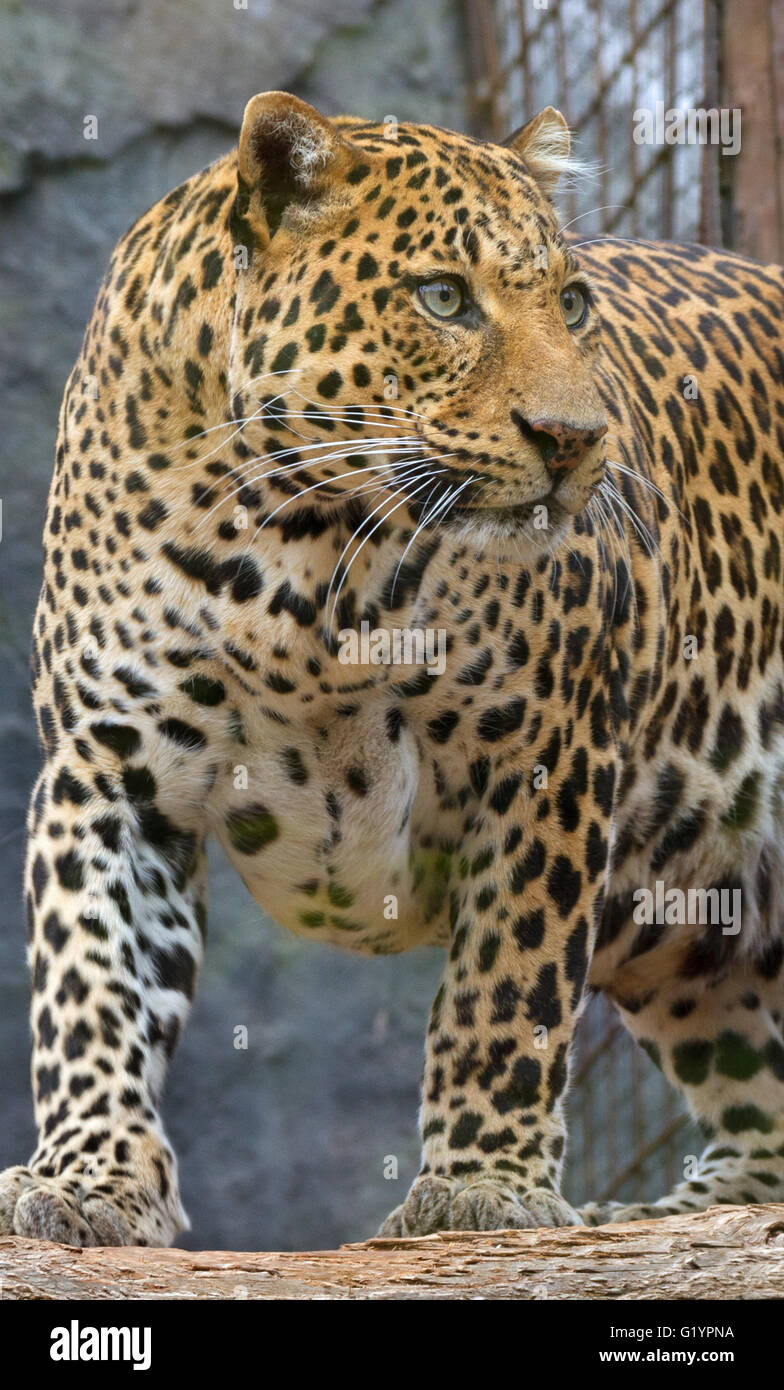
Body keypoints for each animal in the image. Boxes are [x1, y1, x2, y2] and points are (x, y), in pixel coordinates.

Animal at [3, 89, 784, 1249]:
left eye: (572, 303)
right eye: (444, 297)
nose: (573, 439)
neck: (296, 547)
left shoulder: (545, 754)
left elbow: (506, 983)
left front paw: (484, 1185)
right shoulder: (109, 764)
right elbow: (89, 976)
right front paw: (89, 1178)